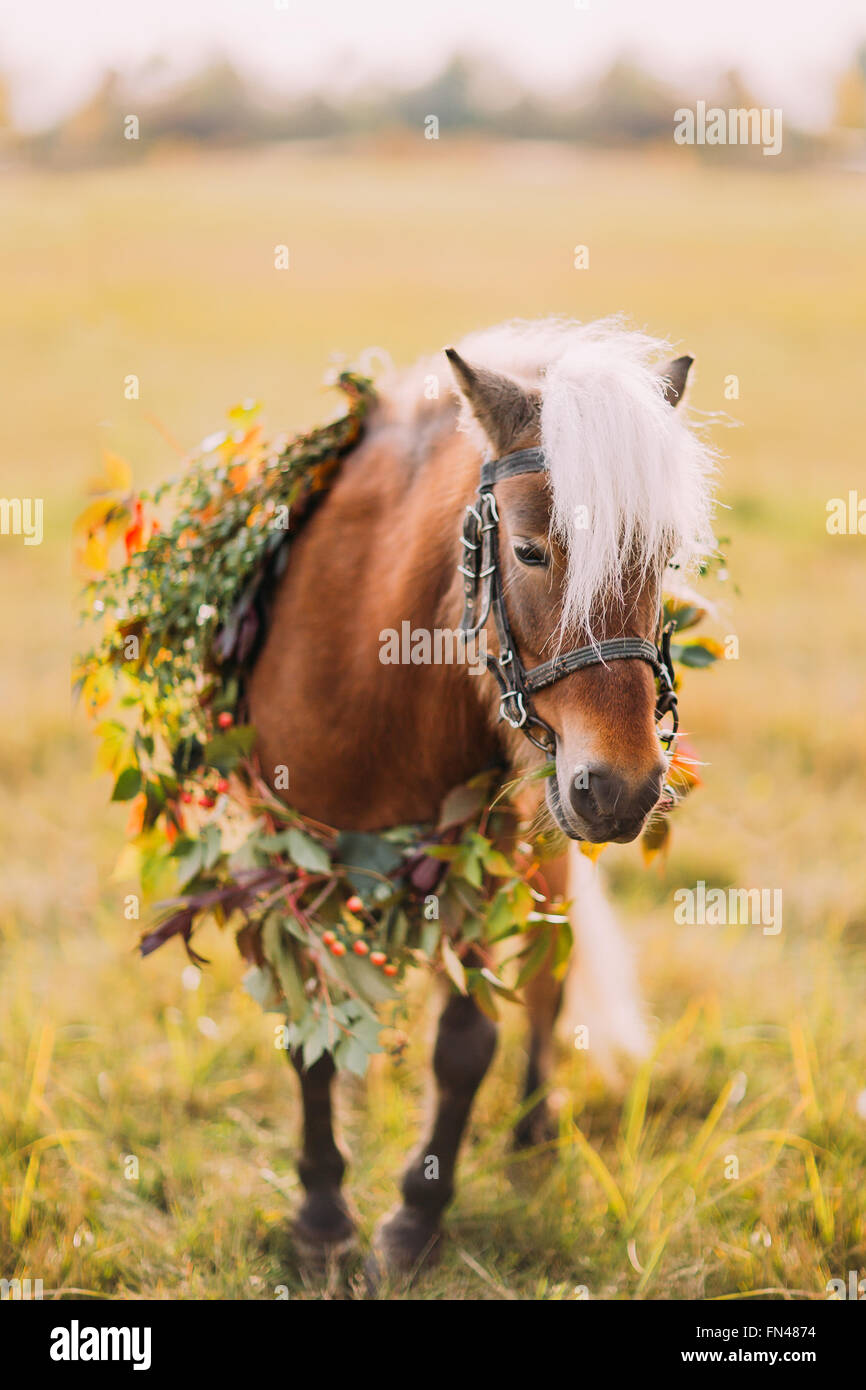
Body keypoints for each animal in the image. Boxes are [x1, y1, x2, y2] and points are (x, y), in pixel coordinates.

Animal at [246, 317, 716, 1278]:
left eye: (664, 560)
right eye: (531, 550)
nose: (621, 789)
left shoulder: (484, 860)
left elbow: (467, 1042)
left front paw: (415, 1217)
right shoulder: (291, 865)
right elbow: (312, 1034)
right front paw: (321, 1214)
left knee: (549, 980)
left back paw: (536, 1129)